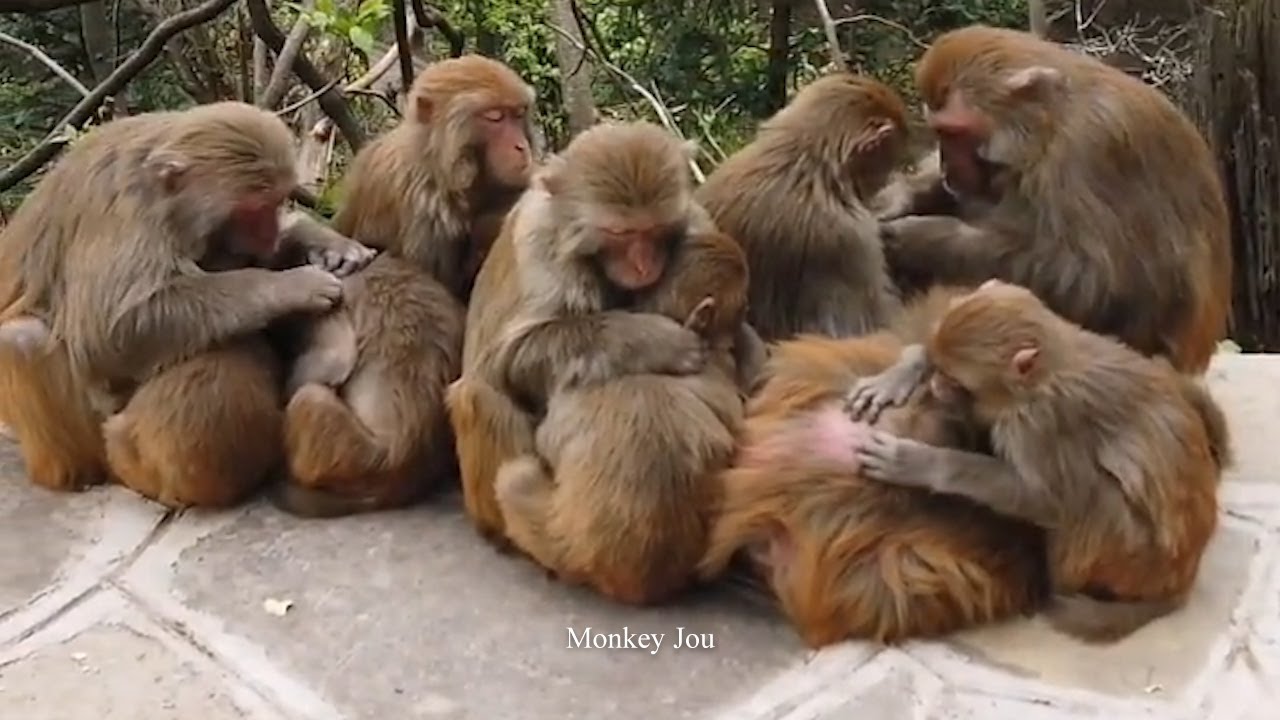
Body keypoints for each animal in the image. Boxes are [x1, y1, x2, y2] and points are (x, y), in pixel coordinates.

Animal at [0, 101, 364, 507]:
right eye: (253, 210)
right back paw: (78, 474)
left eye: (277, 202)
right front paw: (290, 286)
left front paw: (318, 239)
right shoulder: (126, 214)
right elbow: (112, 329)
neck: (163, 196)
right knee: (22, 340)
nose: (269, 236)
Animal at [448, 121, 729, 547]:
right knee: (477, 394)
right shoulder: (541, 244)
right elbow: (512, 355)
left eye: (656, 230)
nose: (643, 265)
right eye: (620, 232)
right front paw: (657, 340)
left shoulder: (696, 222)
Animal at [846, 279, 1230, 642]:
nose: (938, 385)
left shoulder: (1039, 427)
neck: (1042, 378)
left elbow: (1044, 499)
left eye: (956, 380)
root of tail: (1183, 578)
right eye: (942, 369)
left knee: (1090, 496)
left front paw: (916, 462)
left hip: (1129, 558)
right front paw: (905, 370)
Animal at [875, 25, 1231, 375]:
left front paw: (922, 240)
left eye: (955, 132)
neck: (1049, 127)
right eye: (940, 133)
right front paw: (900, 198)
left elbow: (1093, 282)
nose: (948, 166)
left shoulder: (1091, 150)